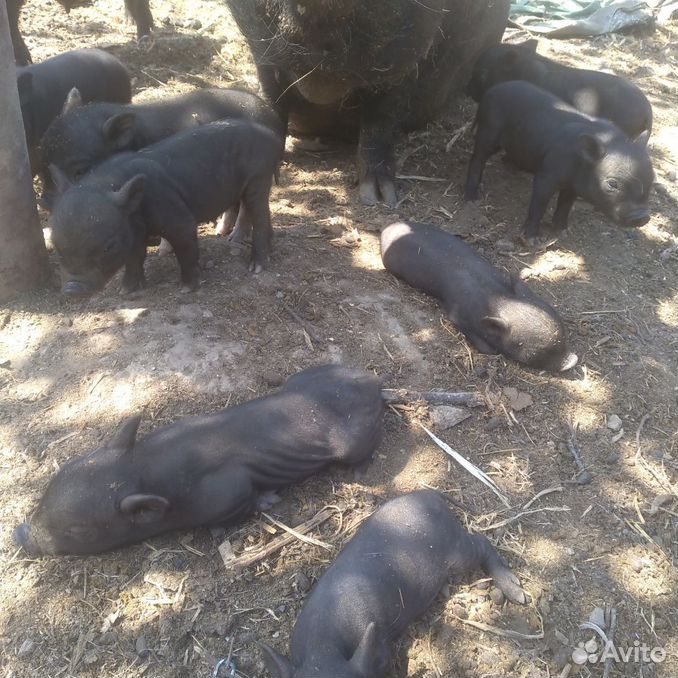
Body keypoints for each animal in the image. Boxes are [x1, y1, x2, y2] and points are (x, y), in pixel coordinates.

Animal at [13, 365, 384, 557]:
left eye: (79, 531)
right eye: (47, 490)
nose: (20, 534)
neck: (145, 471)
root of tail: (372, 379)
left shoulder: (226, 492)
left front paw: (270, 500)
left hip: (353, 440)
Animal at [49, 118, 282, 297]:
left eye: (109, 246)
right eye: (58, 249)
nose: (72, 290)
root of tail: (271, 135)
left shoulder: (177, 216)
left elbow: (185, 248)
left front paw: (185, 289)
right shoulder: (133, 231)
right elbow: (134, 257)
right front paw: (126, 292)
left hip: (259, 175)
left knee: (260, 214)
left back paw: (256, 267)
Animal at [260, 489, 527, 678]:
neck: (322, 645)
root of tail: (431, 494)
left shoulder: (380, 647)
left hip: (456, 552)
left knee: (481, 542)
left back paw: (519, 595)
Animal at [464, 81, 654, 245]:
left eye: (652, 181)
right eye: (612, 183)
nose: (642, 216)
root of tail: (493, 89)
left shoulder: (574, 185)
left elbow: (565, 204)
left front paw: (563, 232)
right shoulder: (547, 174)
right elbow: (539, 203)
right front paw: (532, 240)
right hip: (488, 129)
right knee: (477, 158)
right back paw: (472, 199)